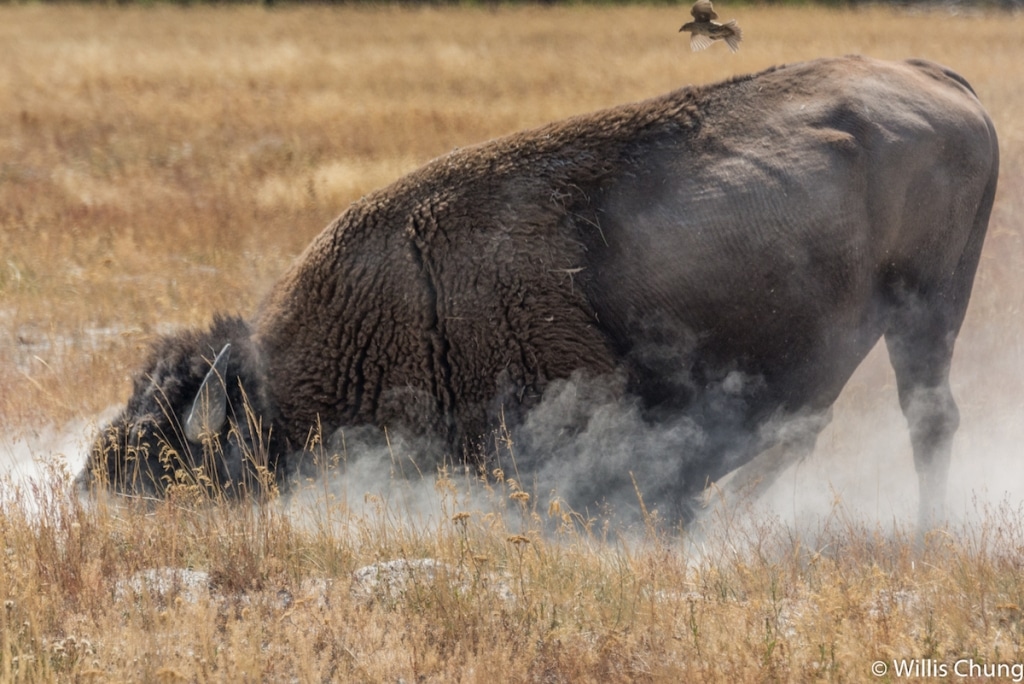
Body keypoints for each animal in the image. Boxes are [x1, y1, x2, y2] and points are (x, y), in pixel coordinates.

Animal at [79, 56, 999, 528]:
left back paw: (923, 536)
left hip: (929, 304)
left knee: (929, 416)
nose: (89, 489)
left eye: (166, 457)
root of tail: (941, 81)